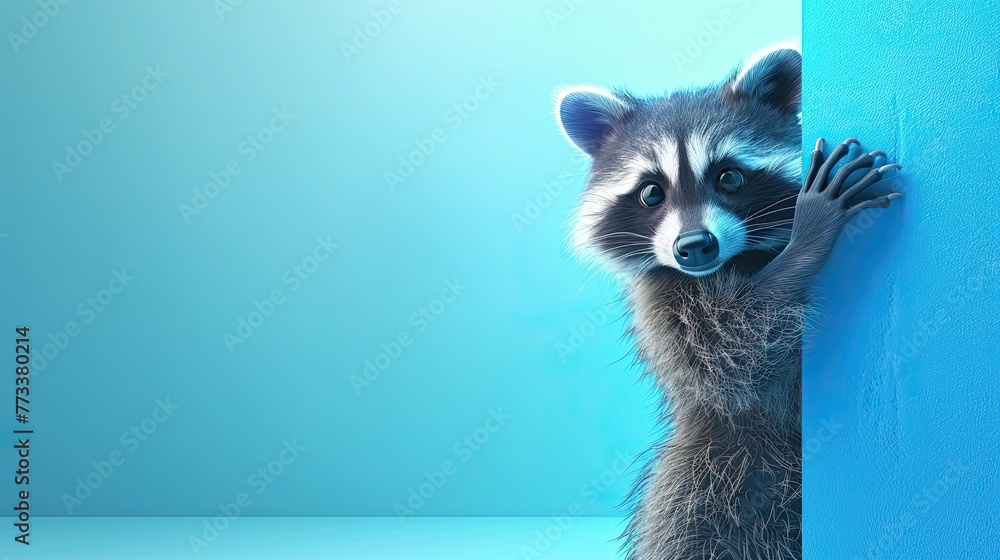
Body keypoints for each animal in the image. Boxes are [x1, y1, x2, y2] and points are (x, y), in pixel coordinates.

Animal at [554, 46, 901, 559]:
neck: (731, 263)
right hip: (706, 484)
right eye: (651, 192)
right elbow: (734, 351)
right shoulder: (662, 304)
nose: (694, 246)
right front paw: (809, 236)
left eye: (730, 177)